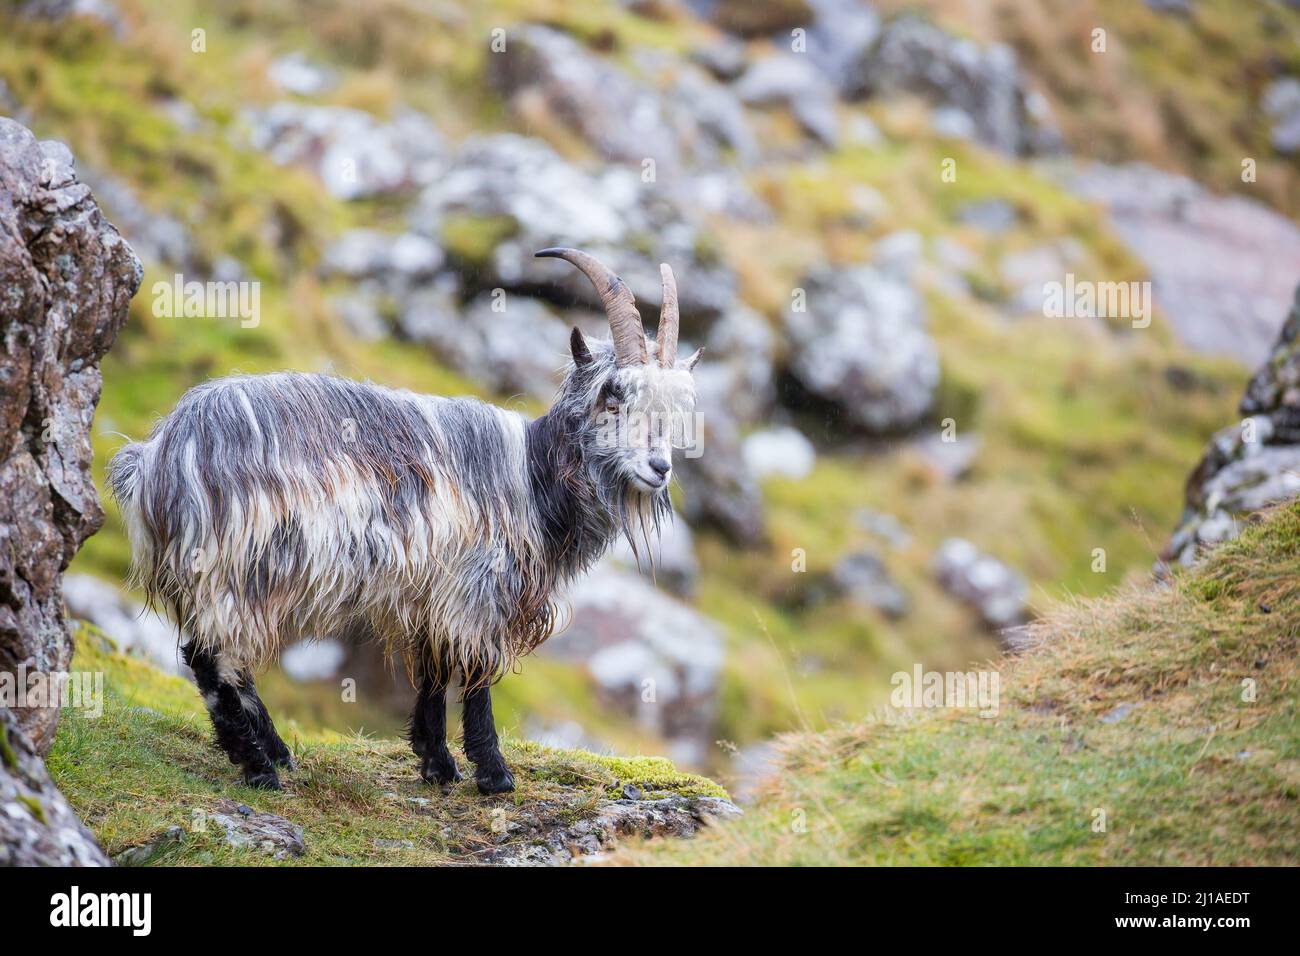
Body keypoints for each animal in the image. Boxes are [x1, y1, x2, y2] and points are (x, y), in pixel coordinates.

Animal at [108, 248, 703, 793]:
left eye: (674, 408)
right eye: (612, 397)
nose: (660, 468)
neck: (534, 477)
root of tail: (157, 457)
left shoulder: (432, 591)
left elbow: (435, 673)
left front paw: (437, 763)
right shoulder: (477, 588)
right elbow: (477, 676)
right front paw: (494, 775)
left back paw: (274, 752)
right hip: (236, 564)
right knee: (210, 657)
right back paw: (257, 767)